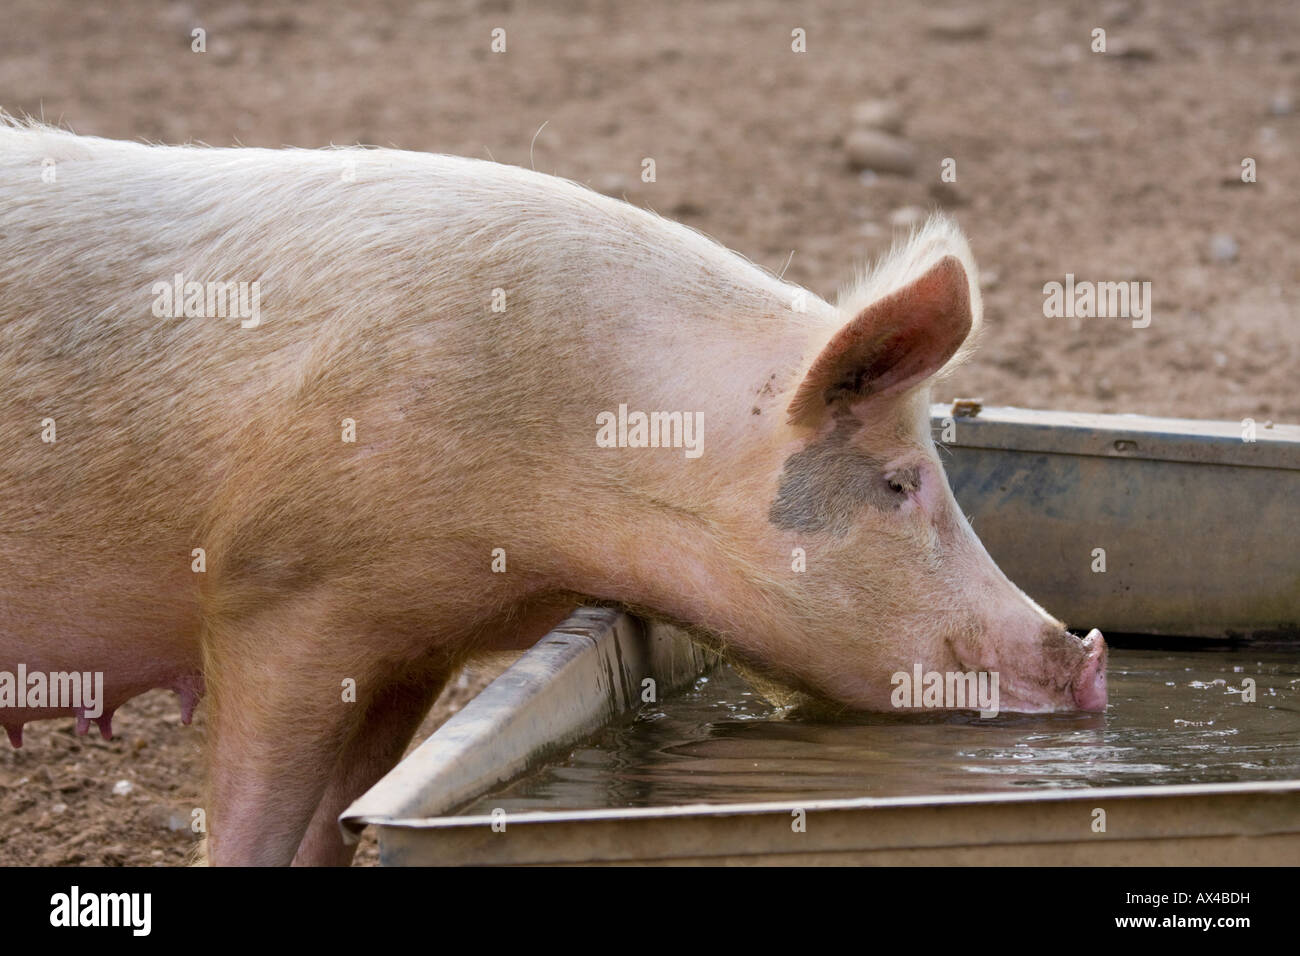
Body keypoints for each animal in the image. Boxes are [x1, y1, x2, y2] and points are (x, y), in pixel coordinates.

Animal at [0, 119, 1107, 868]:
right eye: (900, 482)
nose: (1086, 658)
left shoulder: (410, 637)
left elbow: (335, 820)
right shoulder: (276, 594)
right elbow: (251, 822)